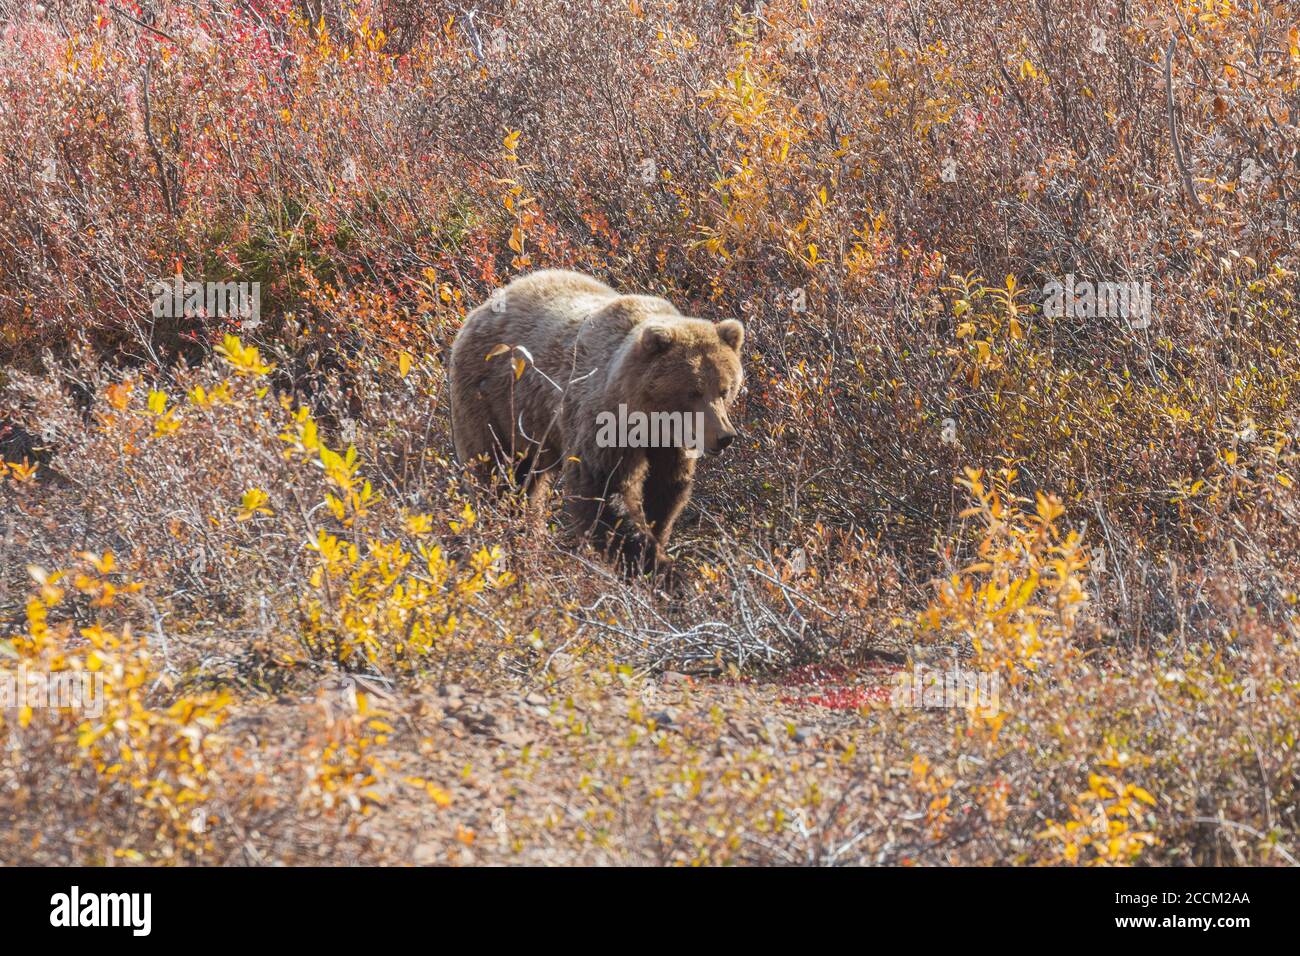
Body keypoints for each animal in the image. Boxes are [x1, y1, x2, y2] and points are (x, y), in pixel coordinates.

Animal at [448, 270, 744, 578]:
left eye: (725, 389)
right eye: (693, 392)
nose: (724, 436)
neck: (648, 418)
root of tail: (483, 307)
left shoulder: (670, 445)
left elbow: (665, 491)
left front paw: (657, 543)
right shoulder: (602, 422)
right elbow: (602, 489)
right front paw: (656, 566)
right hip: (494, 403)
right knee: (497, 473)